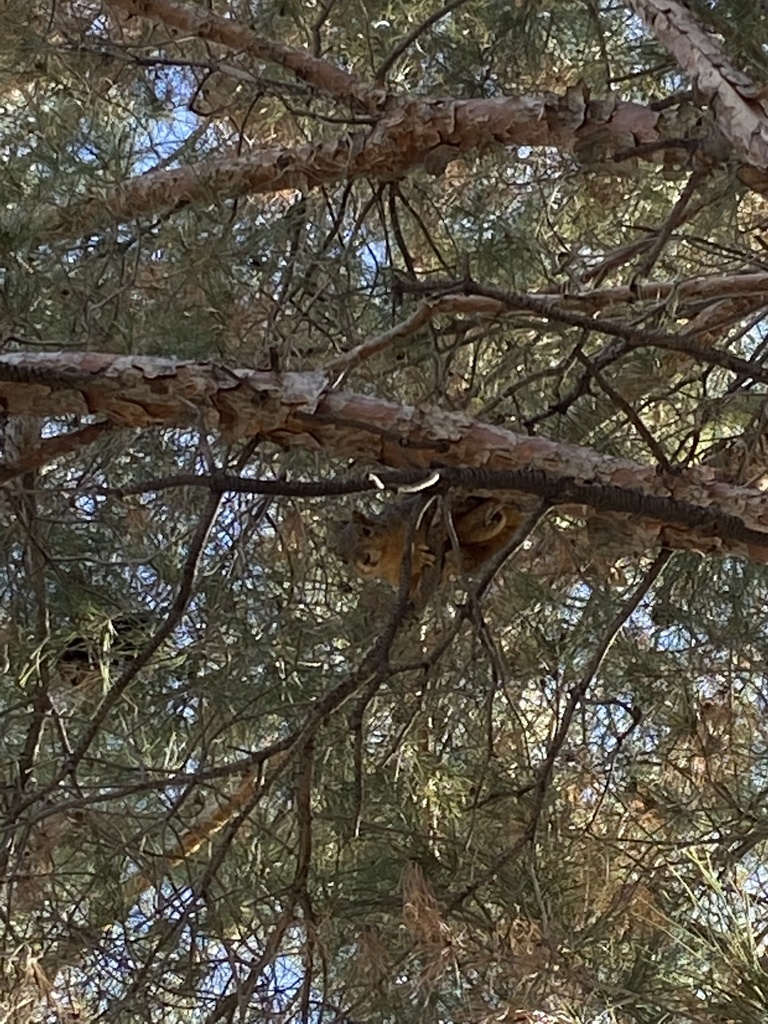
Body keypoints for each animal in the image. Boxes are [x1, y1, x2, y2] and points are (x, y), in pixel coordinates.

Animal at [330, 495, 525, 599]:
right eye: (344, 560)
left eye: (366, 531)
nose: (365, 559)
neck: (389, 554)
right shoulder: (393, 576)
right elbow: (409, 585)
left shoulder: (409, 519)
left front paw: (419, 556)